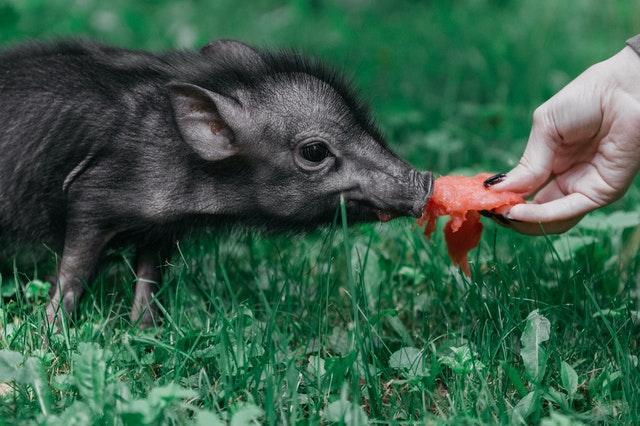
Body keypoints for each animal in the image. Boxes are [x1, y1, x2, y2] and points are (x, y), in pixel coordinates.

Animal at [0, 39, 433, 328]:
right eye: (314, 152)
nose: (427, 181)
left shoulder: (161, 228)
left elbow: (149, 279)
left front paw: (146, 332)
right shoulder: (90, 200)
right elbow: (73, 272)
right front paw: (52, 332)